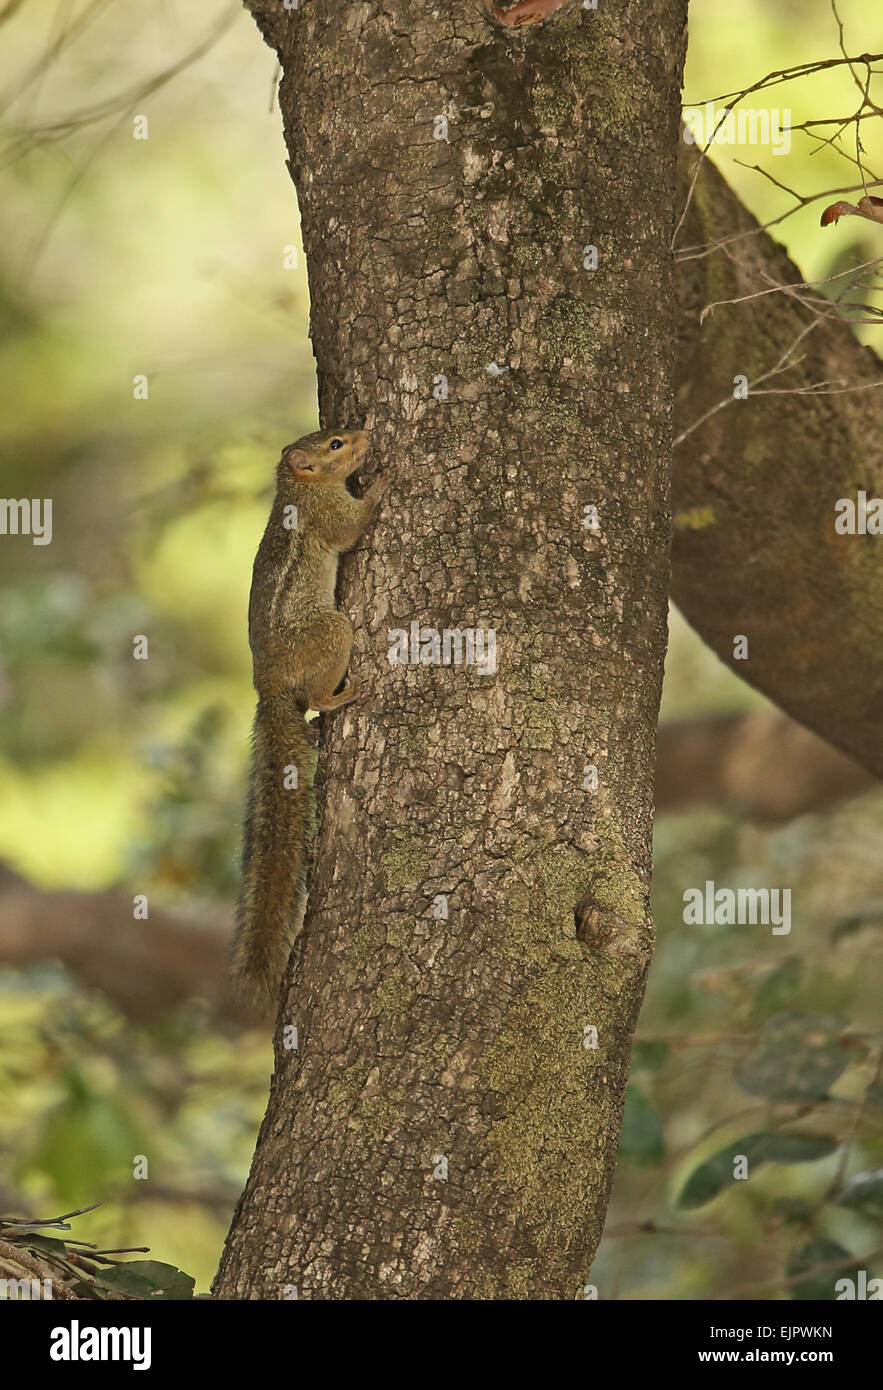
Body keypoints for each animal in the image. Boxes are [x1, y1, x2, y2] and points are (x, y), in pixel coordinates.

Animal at [230, 427, 380, 1008]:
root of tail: (268, 687)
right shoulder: (327, 516)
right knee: (319, 690)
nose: (365, 433)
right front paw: (380, 485)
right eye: (336, 443)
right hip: (330, 631)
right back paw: (340, 698)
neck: (298, 488)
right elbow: (353, 526)